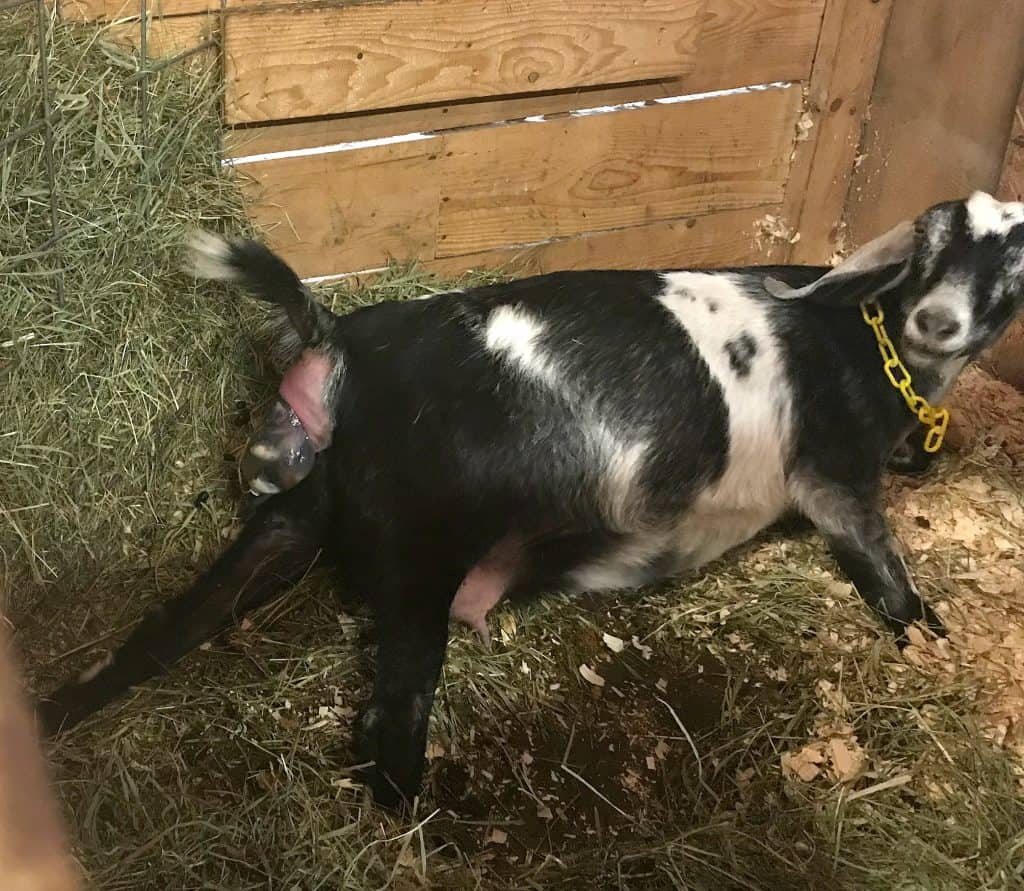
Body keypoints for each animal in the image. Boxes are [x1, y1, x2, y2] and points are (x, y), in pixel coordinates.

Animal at [37, 192, 1024, 807]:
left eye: (1016, 256)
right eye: (930, 244)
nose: (938, 318)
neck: (875, 345)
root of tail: (342, 347)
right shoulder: (835, 471)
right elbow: (882, 566)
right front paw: (933, 638)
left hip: (295, 514)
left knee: (164, 626)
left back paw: (50, 715)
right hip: (419, 543)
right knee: (388, 720)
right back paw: (416, 816)